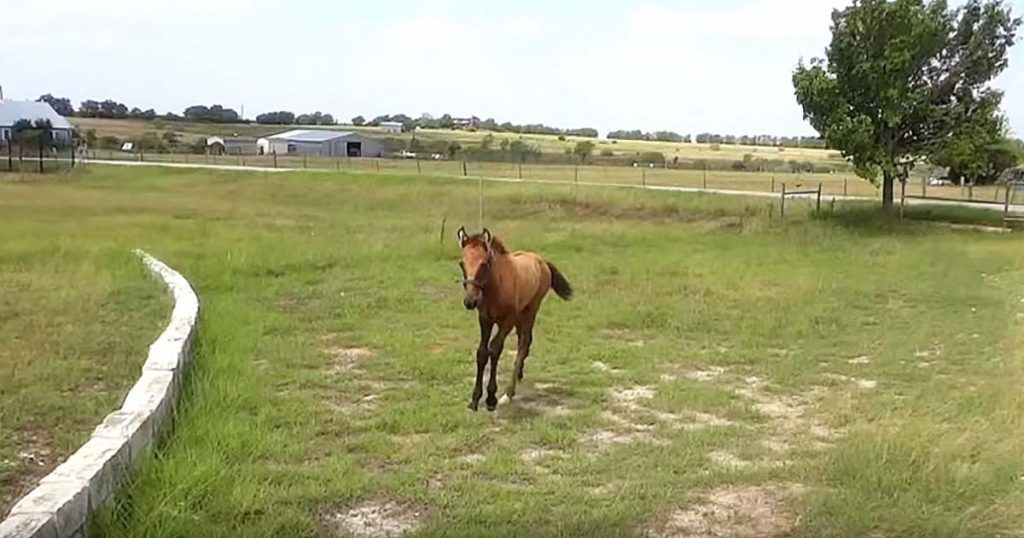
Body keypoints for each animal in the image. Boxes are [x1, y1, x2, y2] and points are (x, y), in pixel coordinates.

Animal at [456, 227, 573, 411]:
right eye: (462, 263)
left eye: (484, 264)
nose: (470, 301)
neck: (496, 286)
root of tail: (541, 261)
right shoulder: (485, 320)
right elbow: (481, 353)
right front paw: (474, 400)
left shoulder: (507, 321)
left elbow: (495, 349)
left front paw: (491, 399)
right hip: (520, 317)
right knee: (524, 342)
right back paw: (518, 375)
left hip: (530, 310)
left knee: (524, 344)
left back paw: (508, 393)